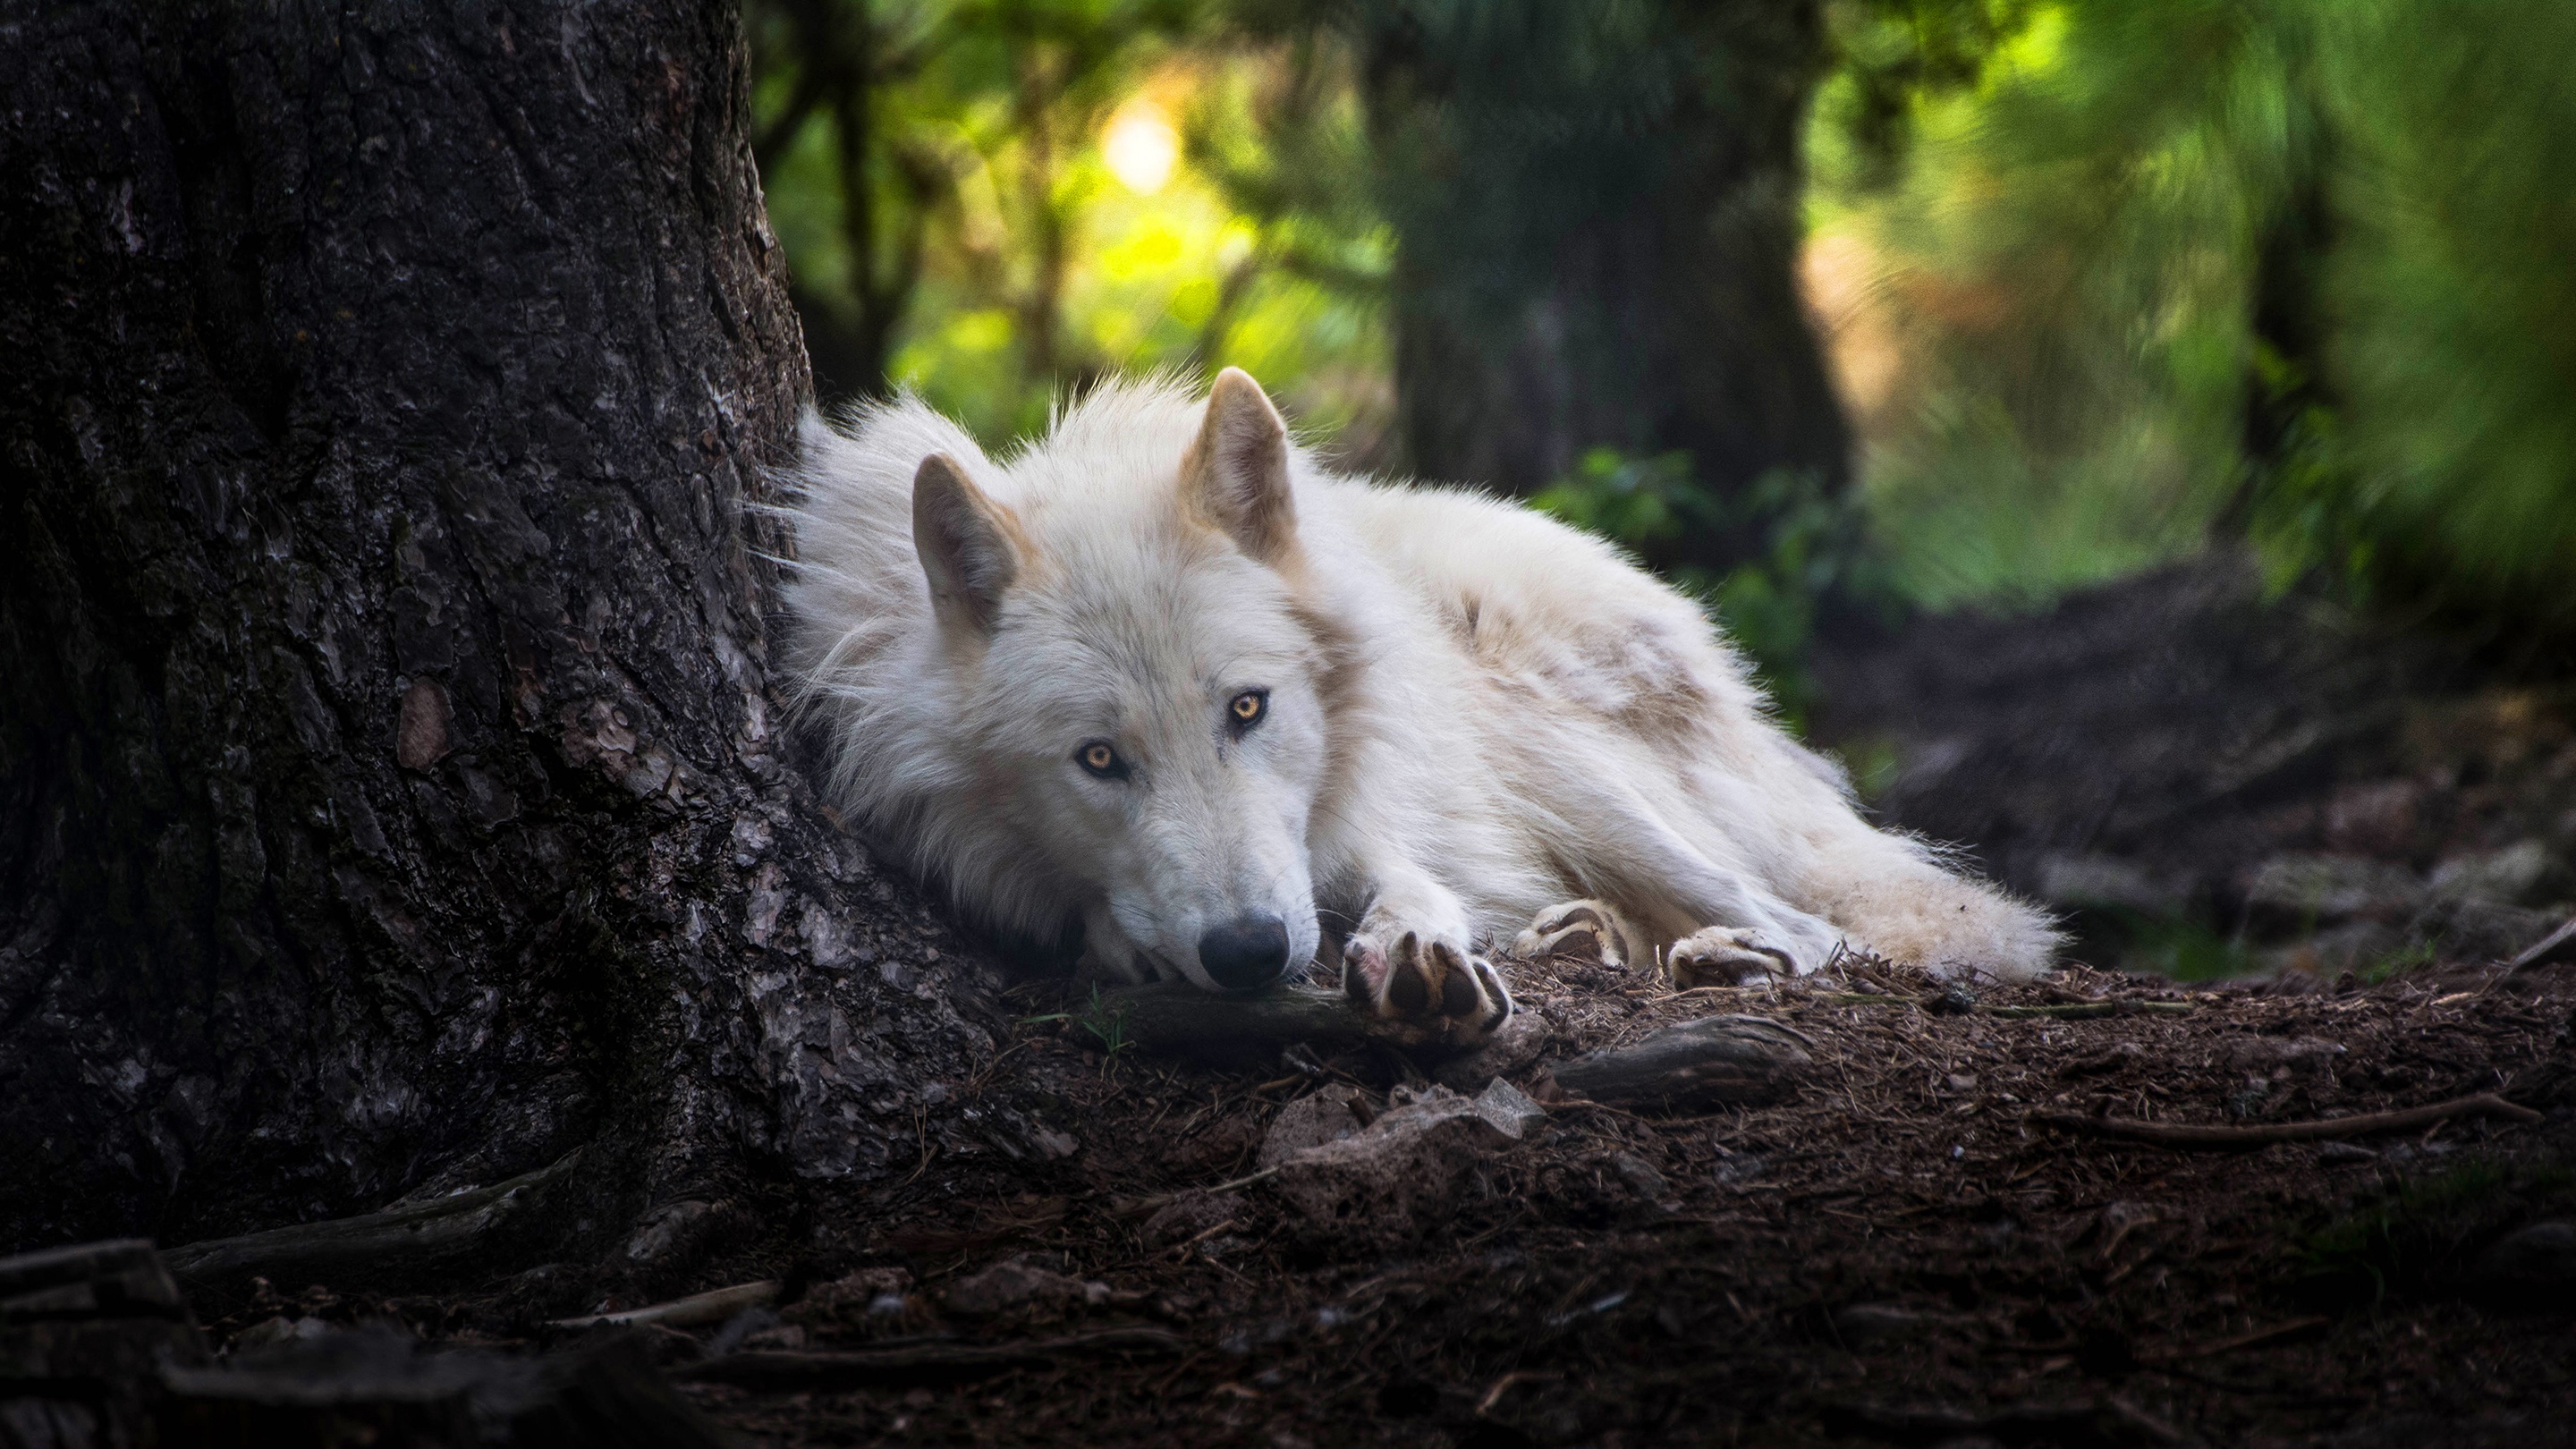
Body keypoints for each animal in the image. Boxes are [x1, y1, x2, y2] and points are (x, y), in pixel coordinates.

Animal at [783, 369, 2056, 1039]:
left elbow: (1408, 886)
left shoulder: (1380, 819)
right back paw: (1586, 936)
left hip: (1559, 761)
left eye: (1249, 710)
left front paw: (1415, 956)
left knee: (1817, 929)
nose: (1249, 953)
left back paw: (1715, 959)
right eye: (1099, 760)